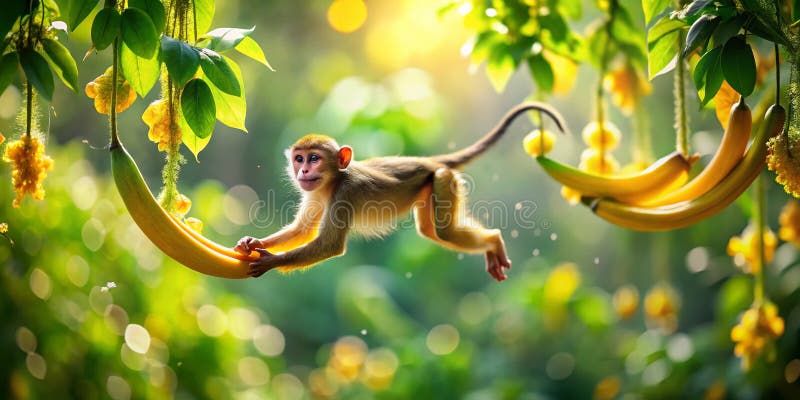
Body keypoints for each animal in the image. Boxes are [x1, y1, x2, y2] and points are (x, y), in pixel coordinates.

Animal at [235, 102, 565, 282]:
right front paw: (254, 242)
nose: (303, 171)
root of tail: (429, 162)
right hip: (431, 187)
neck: (332, 182)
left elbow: (330, 245)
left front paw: (270, 261)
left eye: (314, 158)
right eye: (299, 159)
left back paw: (494, 239)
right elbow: (303, 229)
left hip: (444, 180)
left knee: (443, 231)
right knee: (432, 231)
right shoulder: (315, 192)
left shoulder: (345, 194)